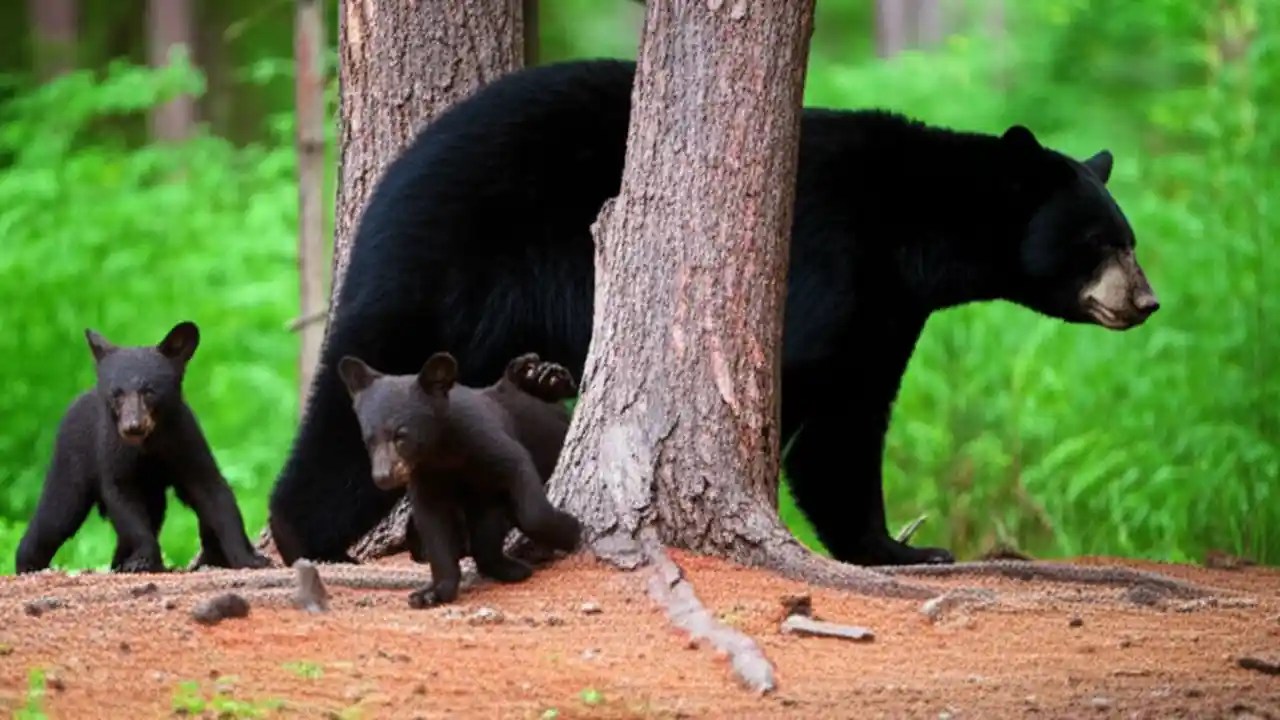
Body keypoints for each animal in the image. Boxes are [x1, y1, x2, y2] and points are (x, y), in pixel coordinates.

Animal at [15, 321, 270, 574]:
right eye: (116, 394)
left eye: (149, 391)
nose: (133, 426)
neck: (149, 445)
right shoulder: (114, 455)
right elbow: (125, 505)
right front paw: (143, 560)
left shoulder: (186, 441)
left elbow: (215, 495)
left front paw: (250, 558)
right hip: (72, 458)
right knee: (56, 513)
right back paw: (28, 564)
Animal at [267, 58, 1159, 568]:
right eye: (1096, 242)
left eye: (1129, 237)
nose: (1146, 300)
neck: (912, 231)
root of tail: (393, 173)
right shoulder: (834, 266)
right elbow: (819, 413)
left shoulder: (884, 309)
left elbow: (854, 411)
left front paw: (898, 548)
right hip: (450, 261)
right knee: (368, 376)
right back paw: (302, 537)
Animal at [337, 351, 582, 607]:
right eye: (369, 439)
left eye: (401, 436)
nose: (383, 476)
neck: (442, 453)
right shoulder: (428, 478)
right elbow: (435, 529)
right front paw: (432, 592)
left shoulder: (485, 440)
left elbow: (526, 494)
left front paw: (571, 528)